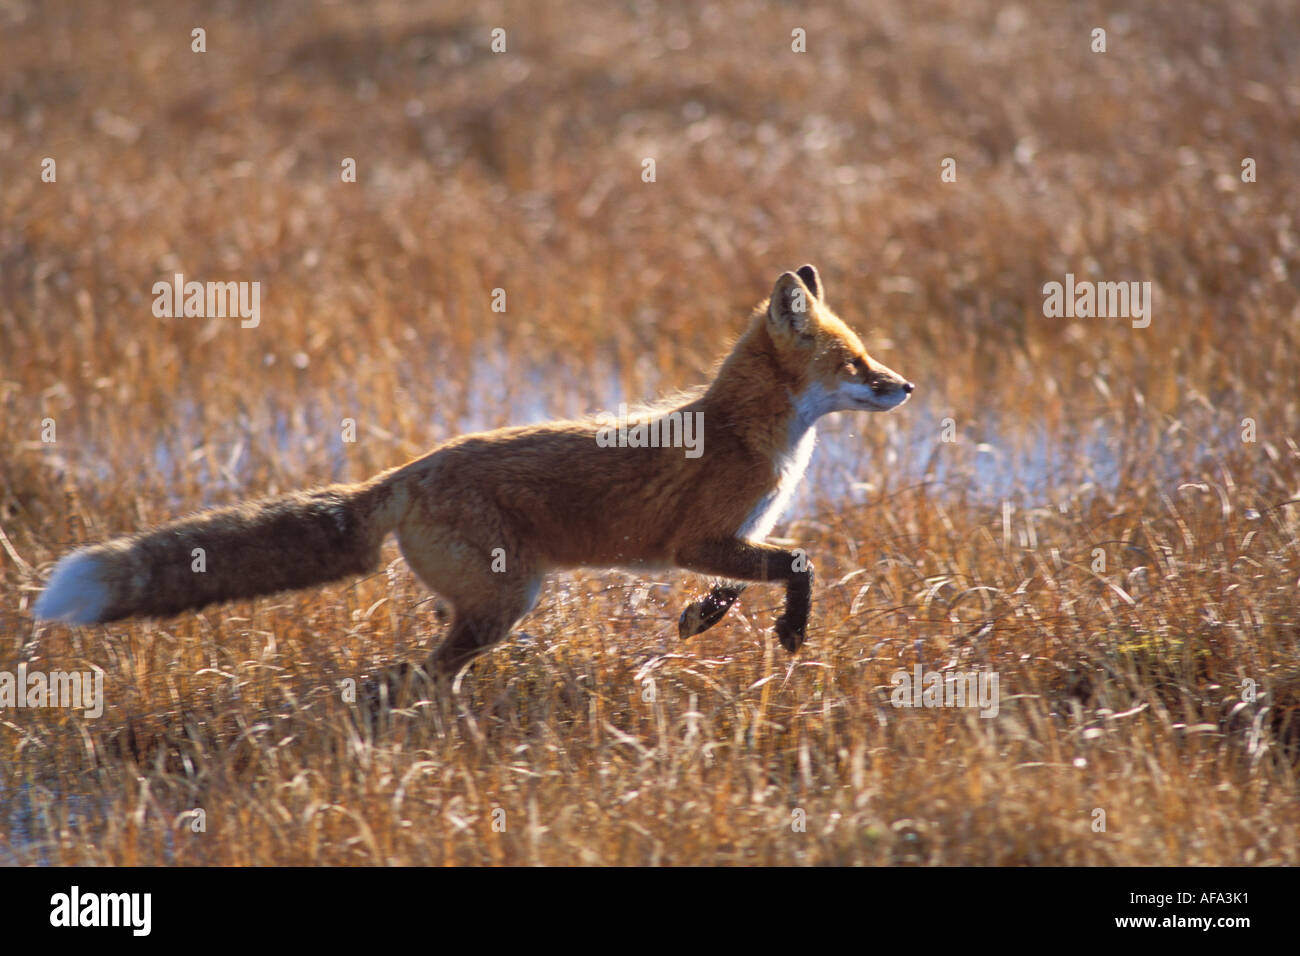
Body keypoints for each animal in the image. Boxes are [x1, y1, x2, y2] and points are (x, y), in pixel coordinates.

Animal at [33, 265, 913, 681]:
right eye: (854, 363)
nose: (904, 386)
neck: (746, 434)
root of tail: (407, 472)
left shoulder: (729, 542)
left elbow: (746, 580)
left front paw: (703, 618)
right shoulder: (696, 539)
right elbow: (801, 564)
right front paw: (792, 630)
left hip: (483, 603)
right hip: (505, 602)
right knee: (410, 676)